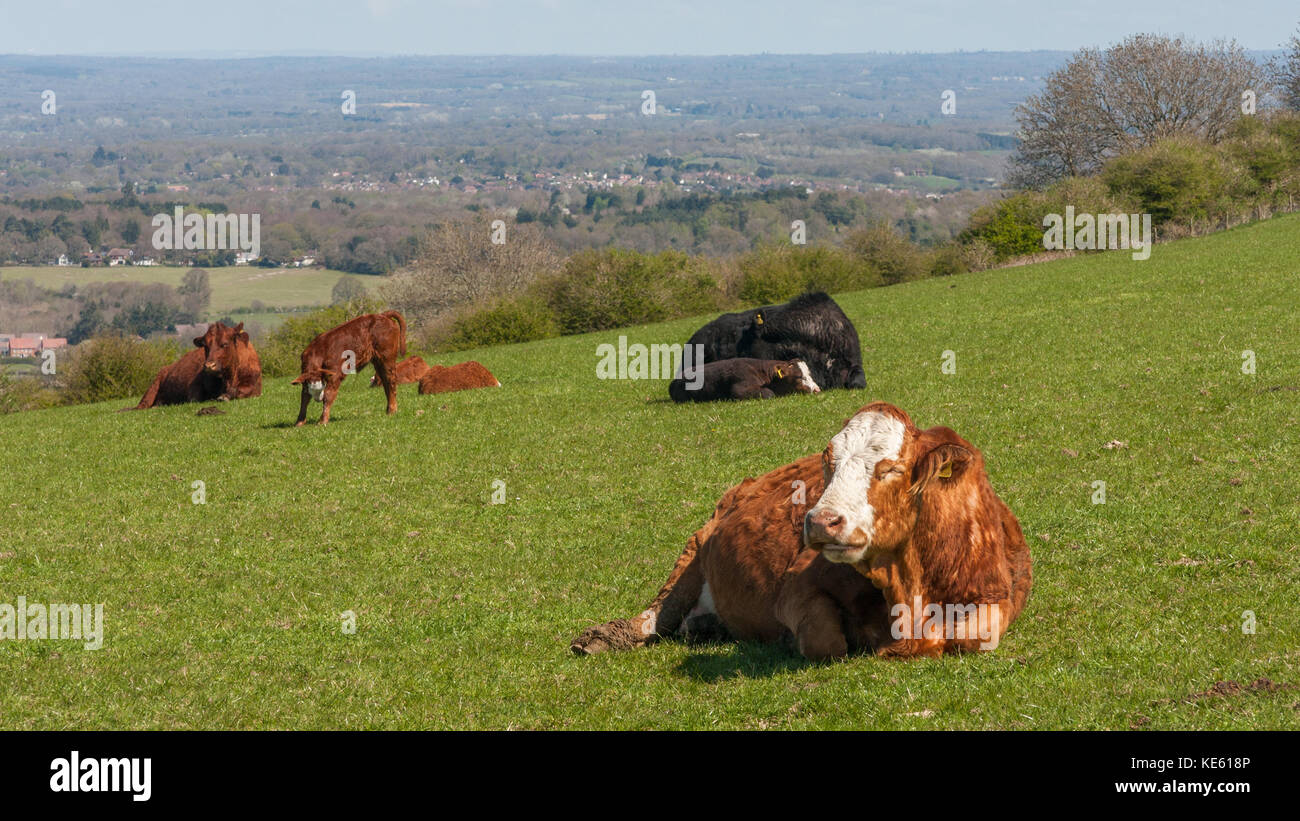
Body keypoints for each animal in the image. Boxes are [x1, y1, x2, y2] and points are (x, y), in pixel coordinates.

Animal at [124, 321, 262, 410]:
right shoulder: (194, 389)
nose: (209, 365)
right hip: (151, 390)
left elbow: (239, 391)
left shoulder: (254, 387)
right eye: (205, 346)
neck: (229, 377)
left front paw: (224, 396)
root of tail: (165, 369)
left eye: (225, 344)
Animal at [571, 402, 1032, 660]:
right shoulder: (795, 590)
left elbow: (976, 634)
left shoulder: (996, 593)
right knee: (656, 614)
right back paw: (602, 637)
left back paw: (707, 628)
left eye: (892, 469)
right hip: (693, 551)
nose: (820, 521)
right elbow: (825, 641)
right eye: (829, 462)